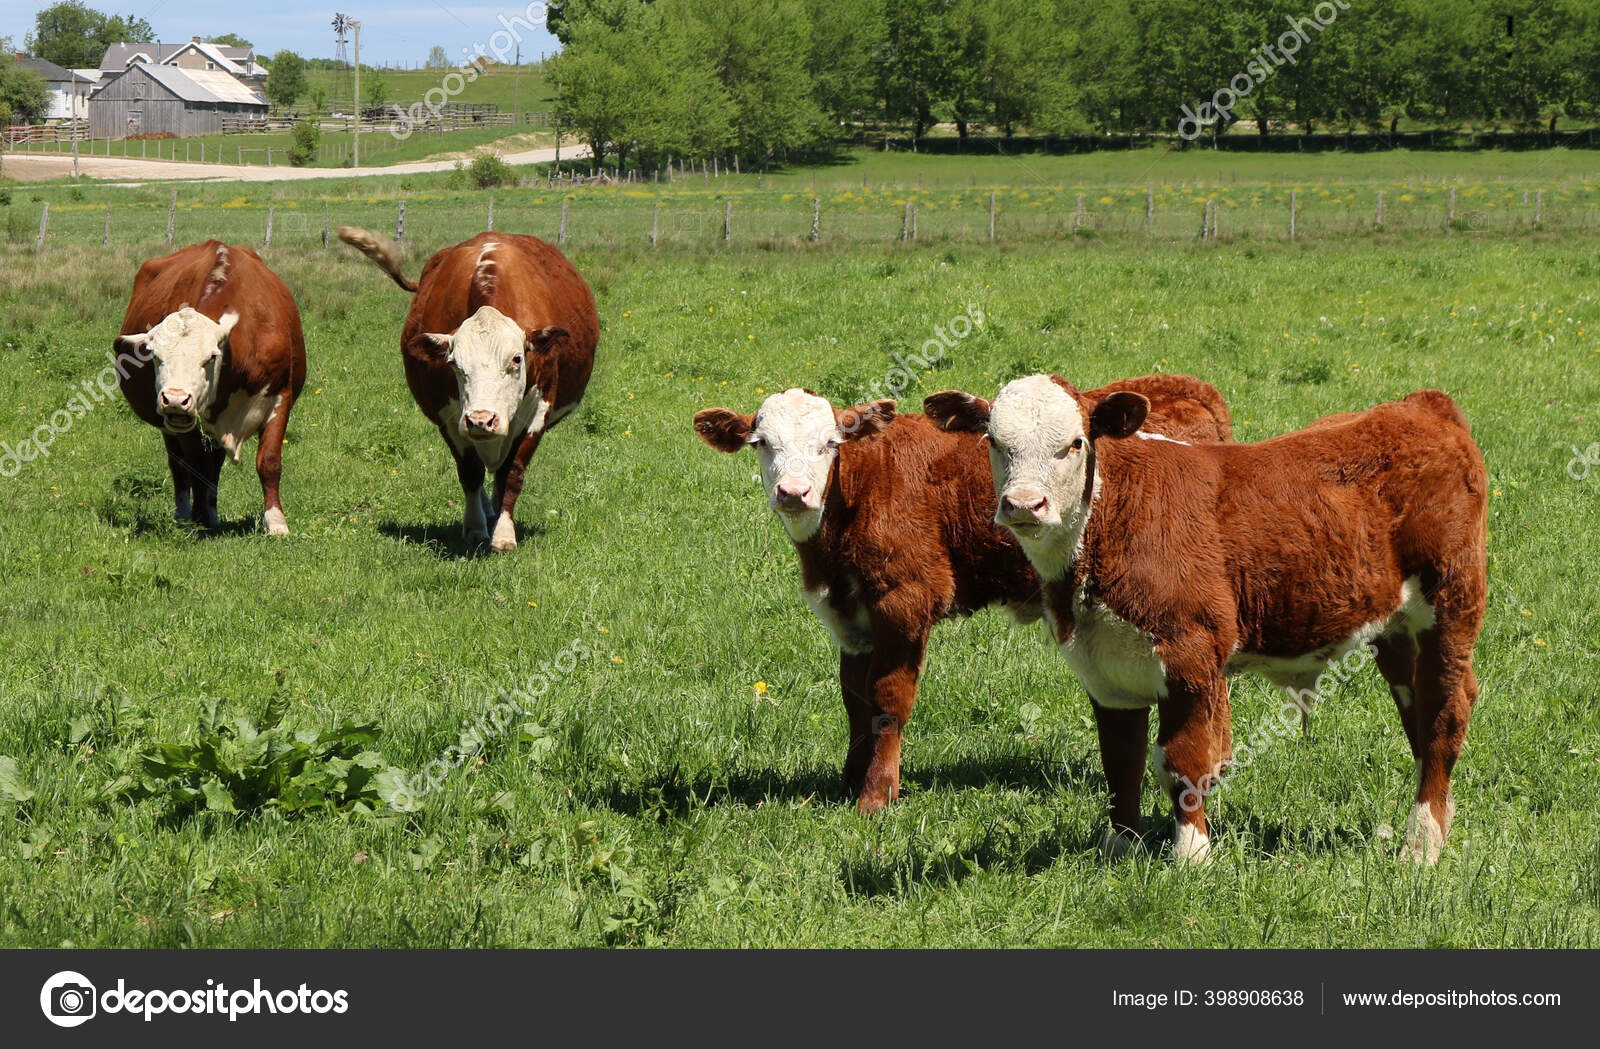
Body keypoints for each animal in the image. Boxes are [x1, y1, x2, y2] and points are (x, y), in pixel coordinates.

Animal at [114, 240, 307, 534]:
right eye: (155, 356)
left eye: (211, 357)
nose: (175, 399)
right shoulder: (184, 422)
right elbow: (195, 465)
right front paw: (198, 517)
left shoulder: (280, 397)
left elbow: (269, 461)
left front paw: (276, 522)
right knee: (180, 465)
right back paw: (187, 512)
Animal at [338, 228, 598, 552]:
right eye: (454, 364)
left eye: (517, 358)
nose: (481, 420)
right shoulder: (450, 417)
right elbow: (470, 473)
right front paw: (476, 528)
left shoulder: (539, 411)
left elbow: (512, 474)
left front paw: (503, 533)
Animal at [693, 374, 1231, 814]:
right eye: (762, 443)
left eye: (829, 443)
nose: (793, 492)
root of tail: (1185, 388)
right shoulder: (849, 616)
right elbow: (854, 698)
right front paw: (849, 778)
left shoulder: (903, 601)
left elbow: (888, 698)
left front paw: (876, 794)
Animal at [924, 377, 1487, 864]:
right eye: (994, 441)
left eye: (1075, 443)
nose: (1024, 505)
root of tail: (1421, 405)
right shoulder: (1105, 670)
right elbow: (1121, 760)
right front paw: (1120, 848)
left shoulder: (1190, 654)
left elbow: (1182, 760)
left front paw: (1191, 855)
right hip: (1396, 627)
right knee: (1420, 714)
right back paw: (1439, 817)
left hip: (1451, 603)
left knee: (1444, 710)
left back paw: (1421, 844)